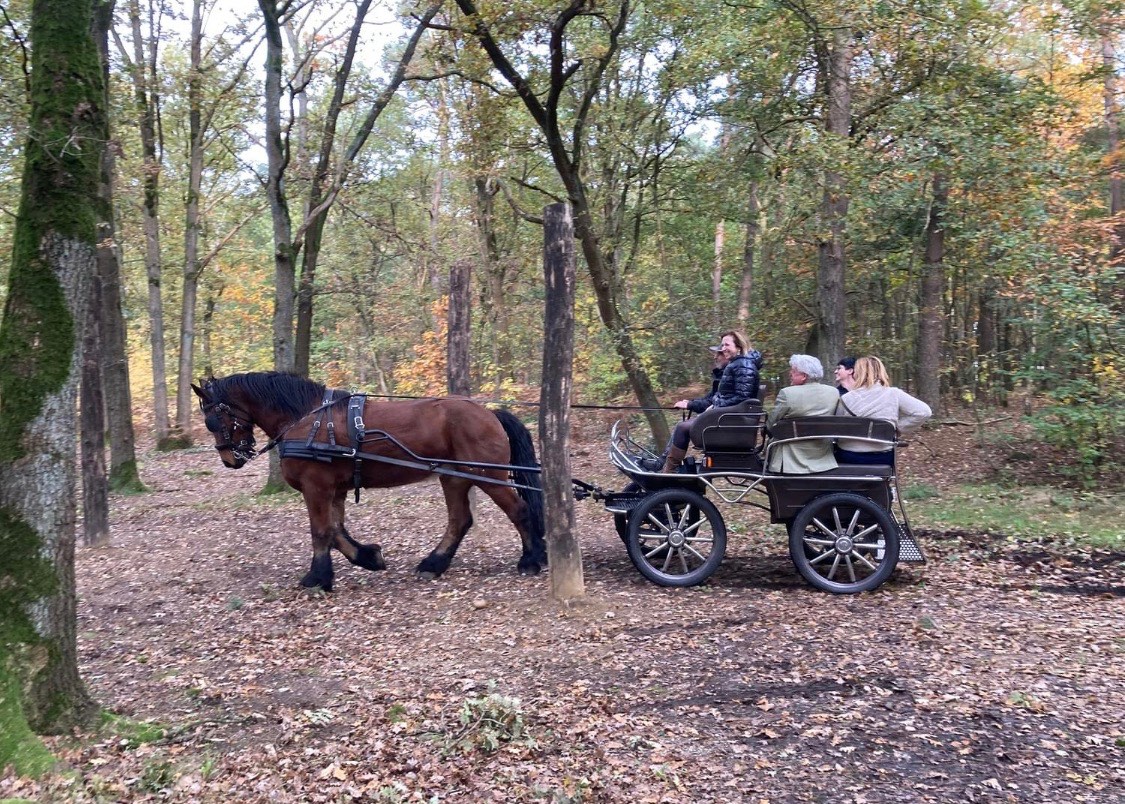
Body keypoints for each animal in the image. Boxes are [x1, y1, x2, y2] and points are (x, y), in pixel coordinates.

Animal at [191, 371, 546, 592]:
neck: (308, 419)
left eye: (212, 420)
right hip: (454, 477)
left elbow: (321, 531)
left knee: (519, 511)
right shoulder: (334, 489)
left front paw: (317, 578)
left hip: (487, 475)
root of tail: (489, 413)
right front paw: (368, 557)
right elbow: (336, 531)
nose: (230, 459)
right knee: (460, 520)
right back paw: (434, 563)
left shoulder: (316, 487)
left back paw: (531, 560)